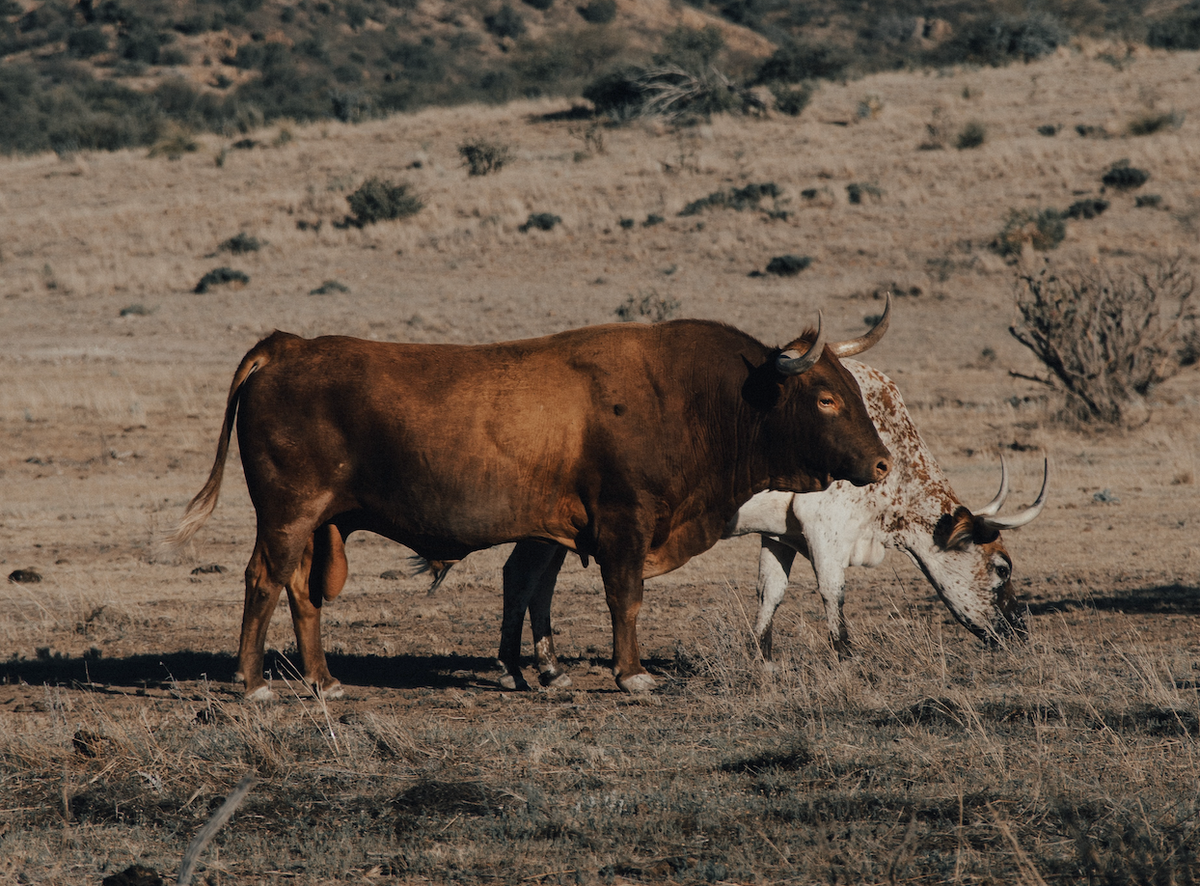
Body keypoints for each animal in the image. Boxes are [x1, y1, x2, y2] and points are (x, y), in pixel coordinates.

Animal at [166, 305, 892, 699]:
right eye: (827, 397)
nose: (883, 462)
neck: (693, 396)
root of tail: (288, 347)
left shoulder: (554, 528)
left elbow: (535, 592)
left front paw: (544, 671)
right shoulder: (623, 524)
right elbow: (624, 599)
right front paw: (631, 673)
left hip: (315, 523)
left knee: (301, 593)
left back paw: (324, 679)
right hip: (287, 515)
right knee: (263, 581)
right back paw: (254, 683)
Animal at [490, 359, 1046, 690]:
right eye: (1002, 567)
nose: (1017, 631)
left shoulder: (781, 534)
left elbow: (771, 591)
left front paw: (762, 654)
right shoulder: (826, 525)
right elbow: (833, 591)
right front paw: (847, 657)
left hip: (551, 532)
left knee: (529, 579)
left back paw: (544, 668)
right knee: (525, 578)